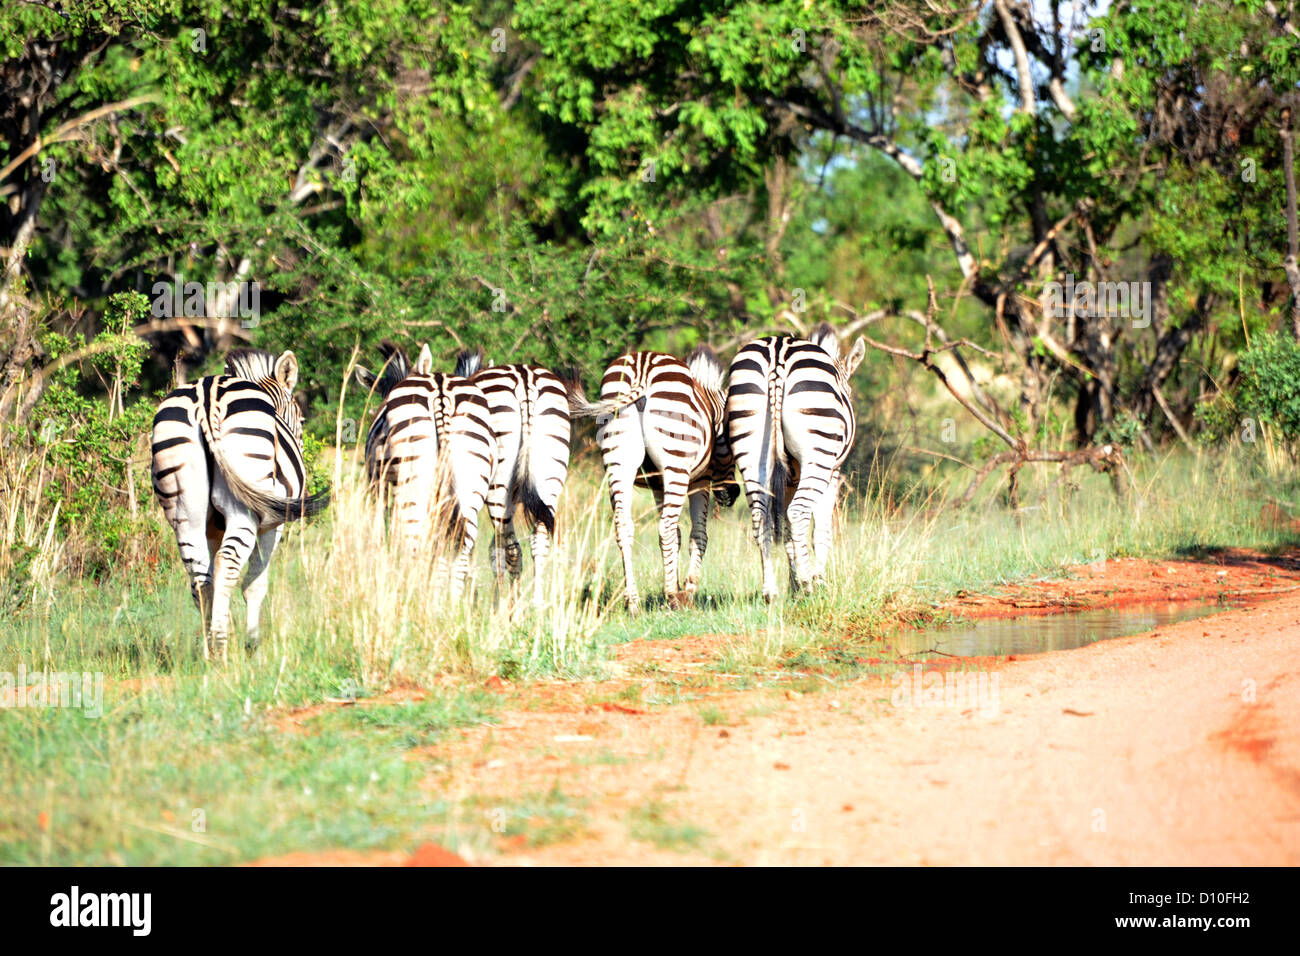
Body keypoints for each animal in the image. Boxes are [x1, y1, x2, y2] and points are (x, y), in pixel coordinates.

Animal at [150, 348, 329, 659]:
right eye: (302, 420)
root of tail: (206, 396)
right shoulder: (273, 525)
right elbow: (255, 583)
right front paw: (252, 643)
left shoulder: (212, 530)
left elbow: (217, 577)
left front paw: (226, 627)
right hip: (244, 508)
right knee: (228, 563)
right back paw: (220, 648)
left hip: (185, 510)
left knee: (200, 577)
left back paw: (210, 649)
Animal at [354, 341, 494, 597]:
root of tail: (441, 393)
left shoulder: (378, 487)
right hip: (469, 485)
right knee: (460, 547)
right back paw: (451, 601)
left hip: (415, 486)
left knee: (416, 543)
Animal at [452, 350, 571, 608]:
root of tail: (526, 381)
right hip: (549, 476)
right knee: (540, 540)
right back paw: (540, 603)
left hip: (499, 486)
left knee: (511, 548)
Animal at [566, 346, 738, 611]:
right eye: (732, 441)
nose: (733, 493)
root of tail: (642, 369)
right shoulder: (700, 481)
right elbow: (697, 535)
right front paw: (687, 590)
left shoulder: (658, 484)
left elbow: (677, 536)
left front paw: (676, 583)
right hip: (676, 464)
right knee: (665, 527)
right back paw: (672, 597)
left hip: (618, 462)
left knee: (623, 526)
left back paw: (634, 602)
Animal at [726, 324, 865, 601]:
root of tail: (777, 356)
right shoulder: (833, 472)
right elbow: (821, 530)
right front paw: (816, 581)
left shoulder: (790, 479)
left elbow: (788, 532)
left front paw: (794, 585)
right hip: (818, 454)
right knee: (798, 513)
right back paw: (808, 584)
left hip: (750, 449)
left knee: (761, 518)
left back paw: (771, 590)